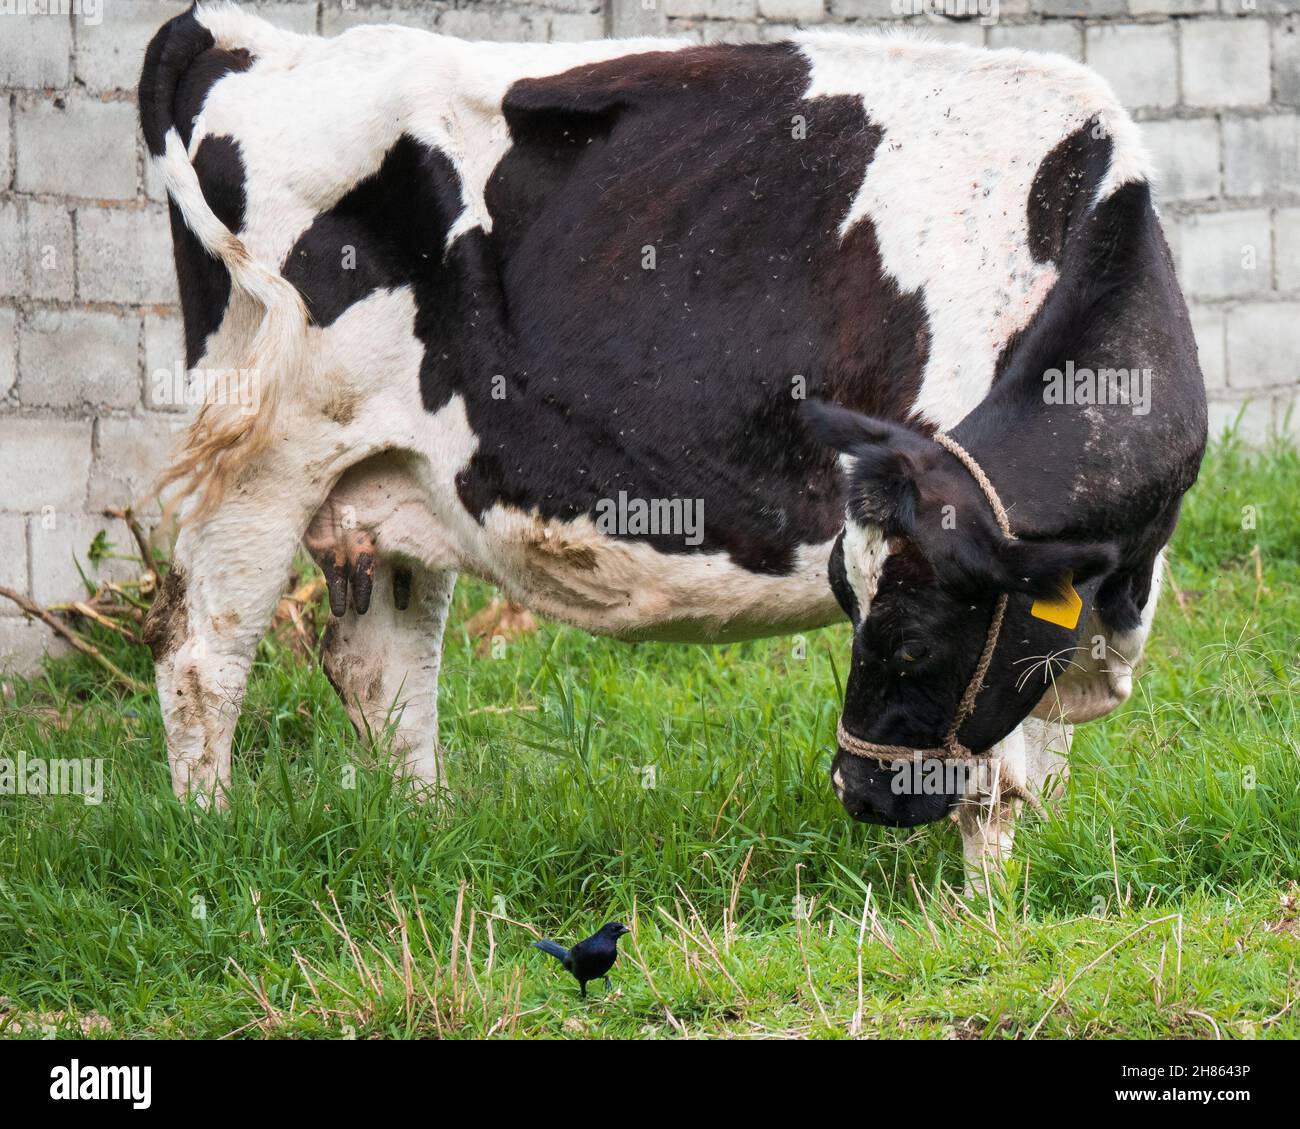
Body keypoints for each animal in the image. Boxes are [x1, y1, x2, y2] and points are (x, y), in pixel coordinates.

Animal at [138, 2, 1206, 883]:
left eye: (901, 632)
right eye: (851, 602)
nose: (856, 792)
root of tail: (255, 39)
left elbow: (1039, 746)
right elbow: (995, 775)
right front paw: (983, 911)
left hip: (398, 470)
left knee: (384, 669)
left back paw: (428, 836)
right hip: (266, 452)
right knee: (201, 654)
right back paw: (210, 841)